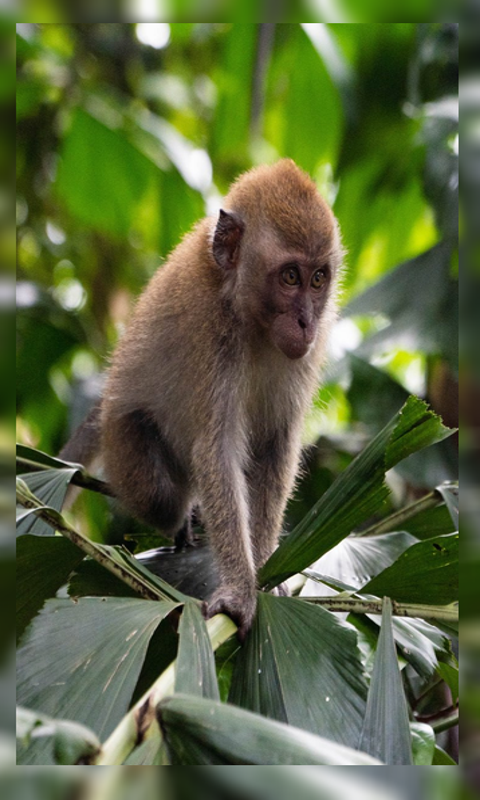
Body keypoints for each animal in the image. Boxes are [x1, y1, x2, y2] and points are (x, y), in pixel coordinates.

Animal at [60, 159, 343, 640]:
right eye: (290, 277)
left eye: (318, 279)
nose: (306, 321)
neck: (251, 319)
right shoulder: (212, 337)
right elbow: (217, 450)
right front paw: (240, 591)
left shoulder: (306, 354)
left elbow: (274, 449)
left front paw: (265, 572)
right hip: (124, 435)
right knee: (155, 494)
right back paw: (181, 513)